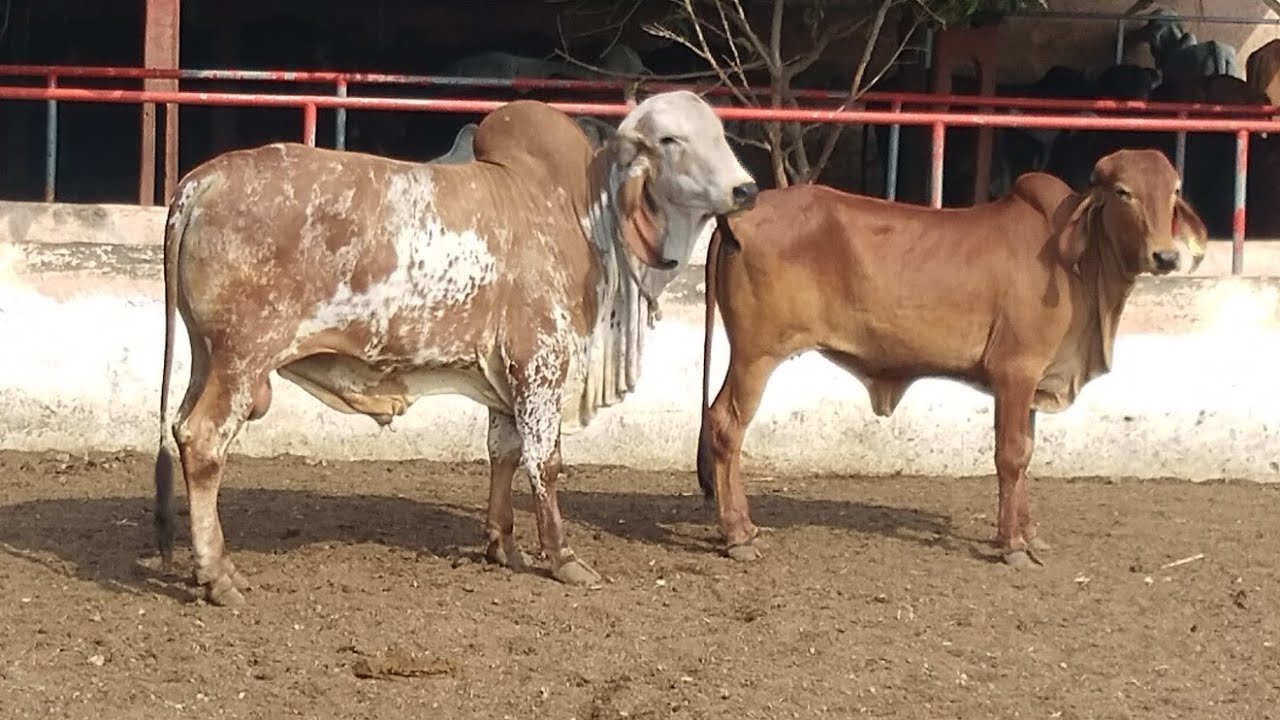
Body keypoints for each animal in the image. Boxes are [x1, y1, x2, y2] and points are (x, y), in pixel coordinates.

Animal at [151, 90, 758, 606]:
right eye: (671, 139)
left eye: (719, 132)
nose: (746, 190)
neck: (582, 211)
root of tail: (203, 181)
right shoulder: (540, 362)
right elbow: (546, 462)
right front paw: (563, 558)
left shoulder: (505, 378)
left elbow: (504, 454)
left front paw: (503, 545)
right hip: (240, 359)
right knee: (204, 441)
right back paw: (219, 576)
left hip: (206, 356)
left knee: (179, 428)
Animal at [695, 150, 1206, 568]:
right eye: (1124, 192)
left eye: (1175, 190)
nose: (1165, 256)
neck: (1080, 265)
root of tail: (738, 217)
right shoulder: (1015, 371)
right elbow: (1011, 455)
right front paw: (1012, 545)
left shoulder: (1032, 383)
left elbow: (1027, 454)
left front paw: (1029, 535)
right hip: (756, 355)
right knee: (725, 425)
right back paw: (738, 534)